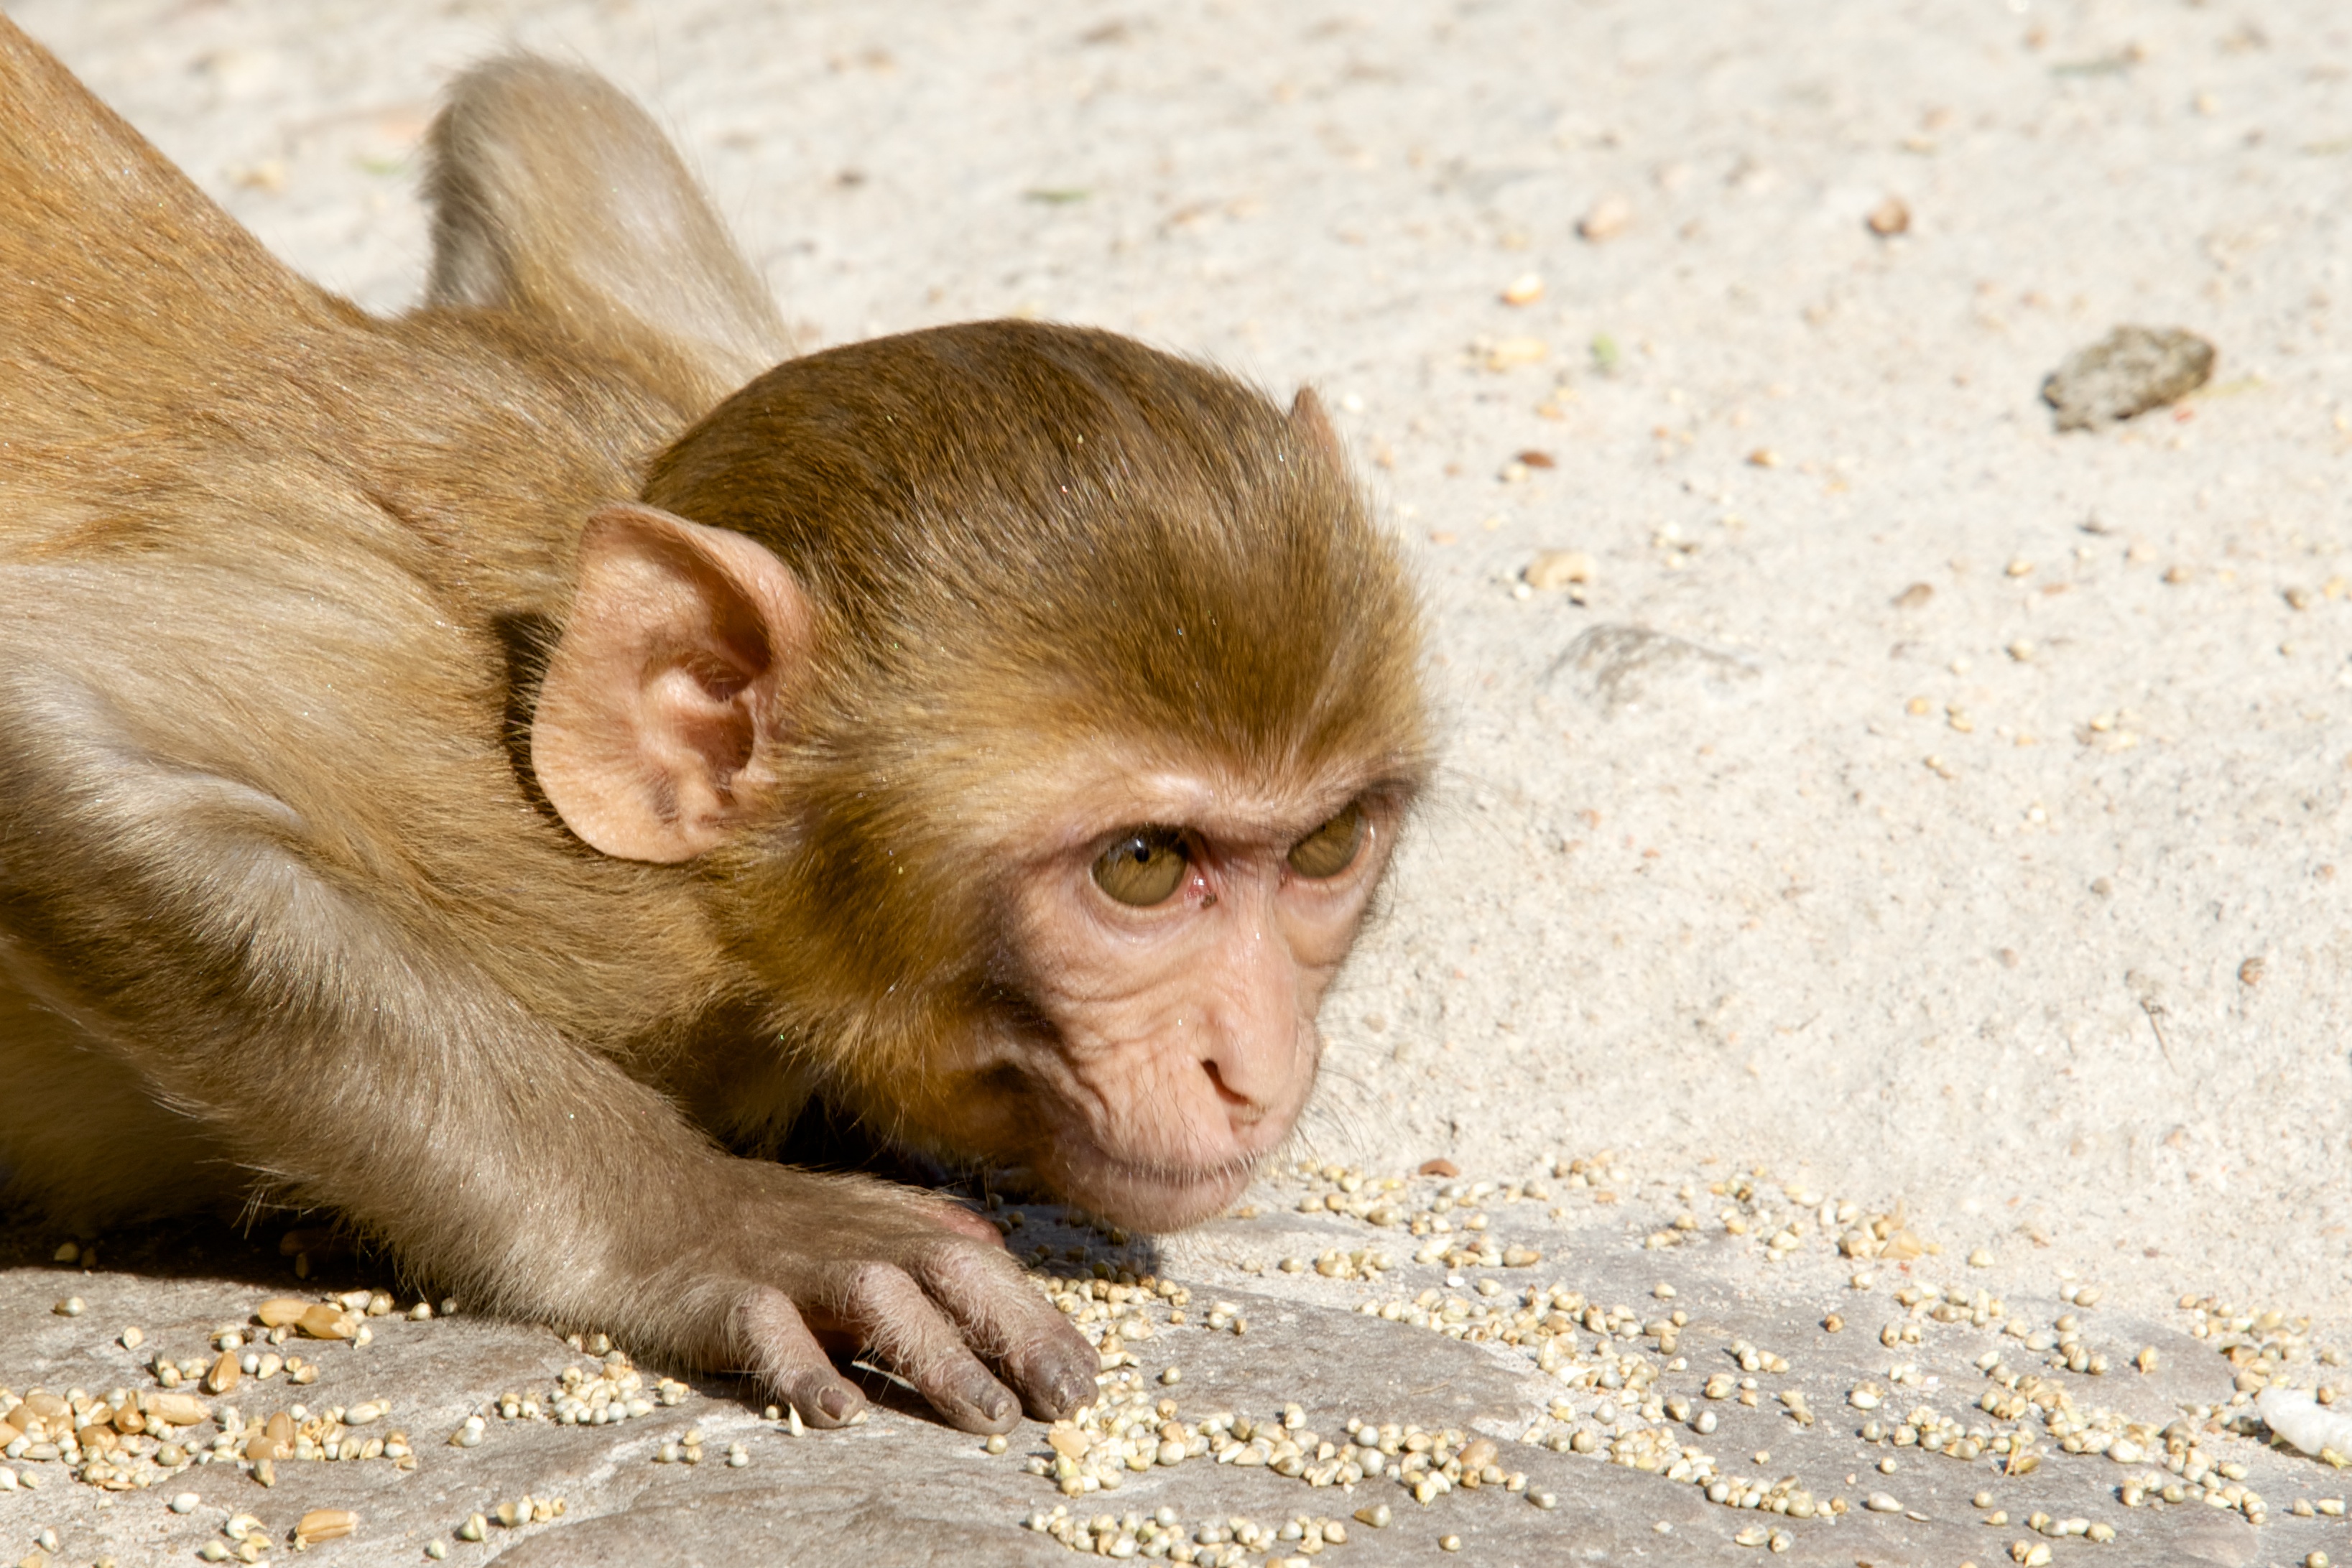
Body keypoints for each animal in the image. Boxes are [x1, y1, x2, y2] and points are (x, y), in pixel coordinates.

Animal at [0, 21, 1430, 1434]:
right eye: (1140, 864)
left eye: (1325, 848)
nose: (1253, 1064)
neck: (727, 902)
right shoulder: (536, 861)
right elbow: (42, 707)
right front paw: (723, 1223)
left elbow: (540, 108)